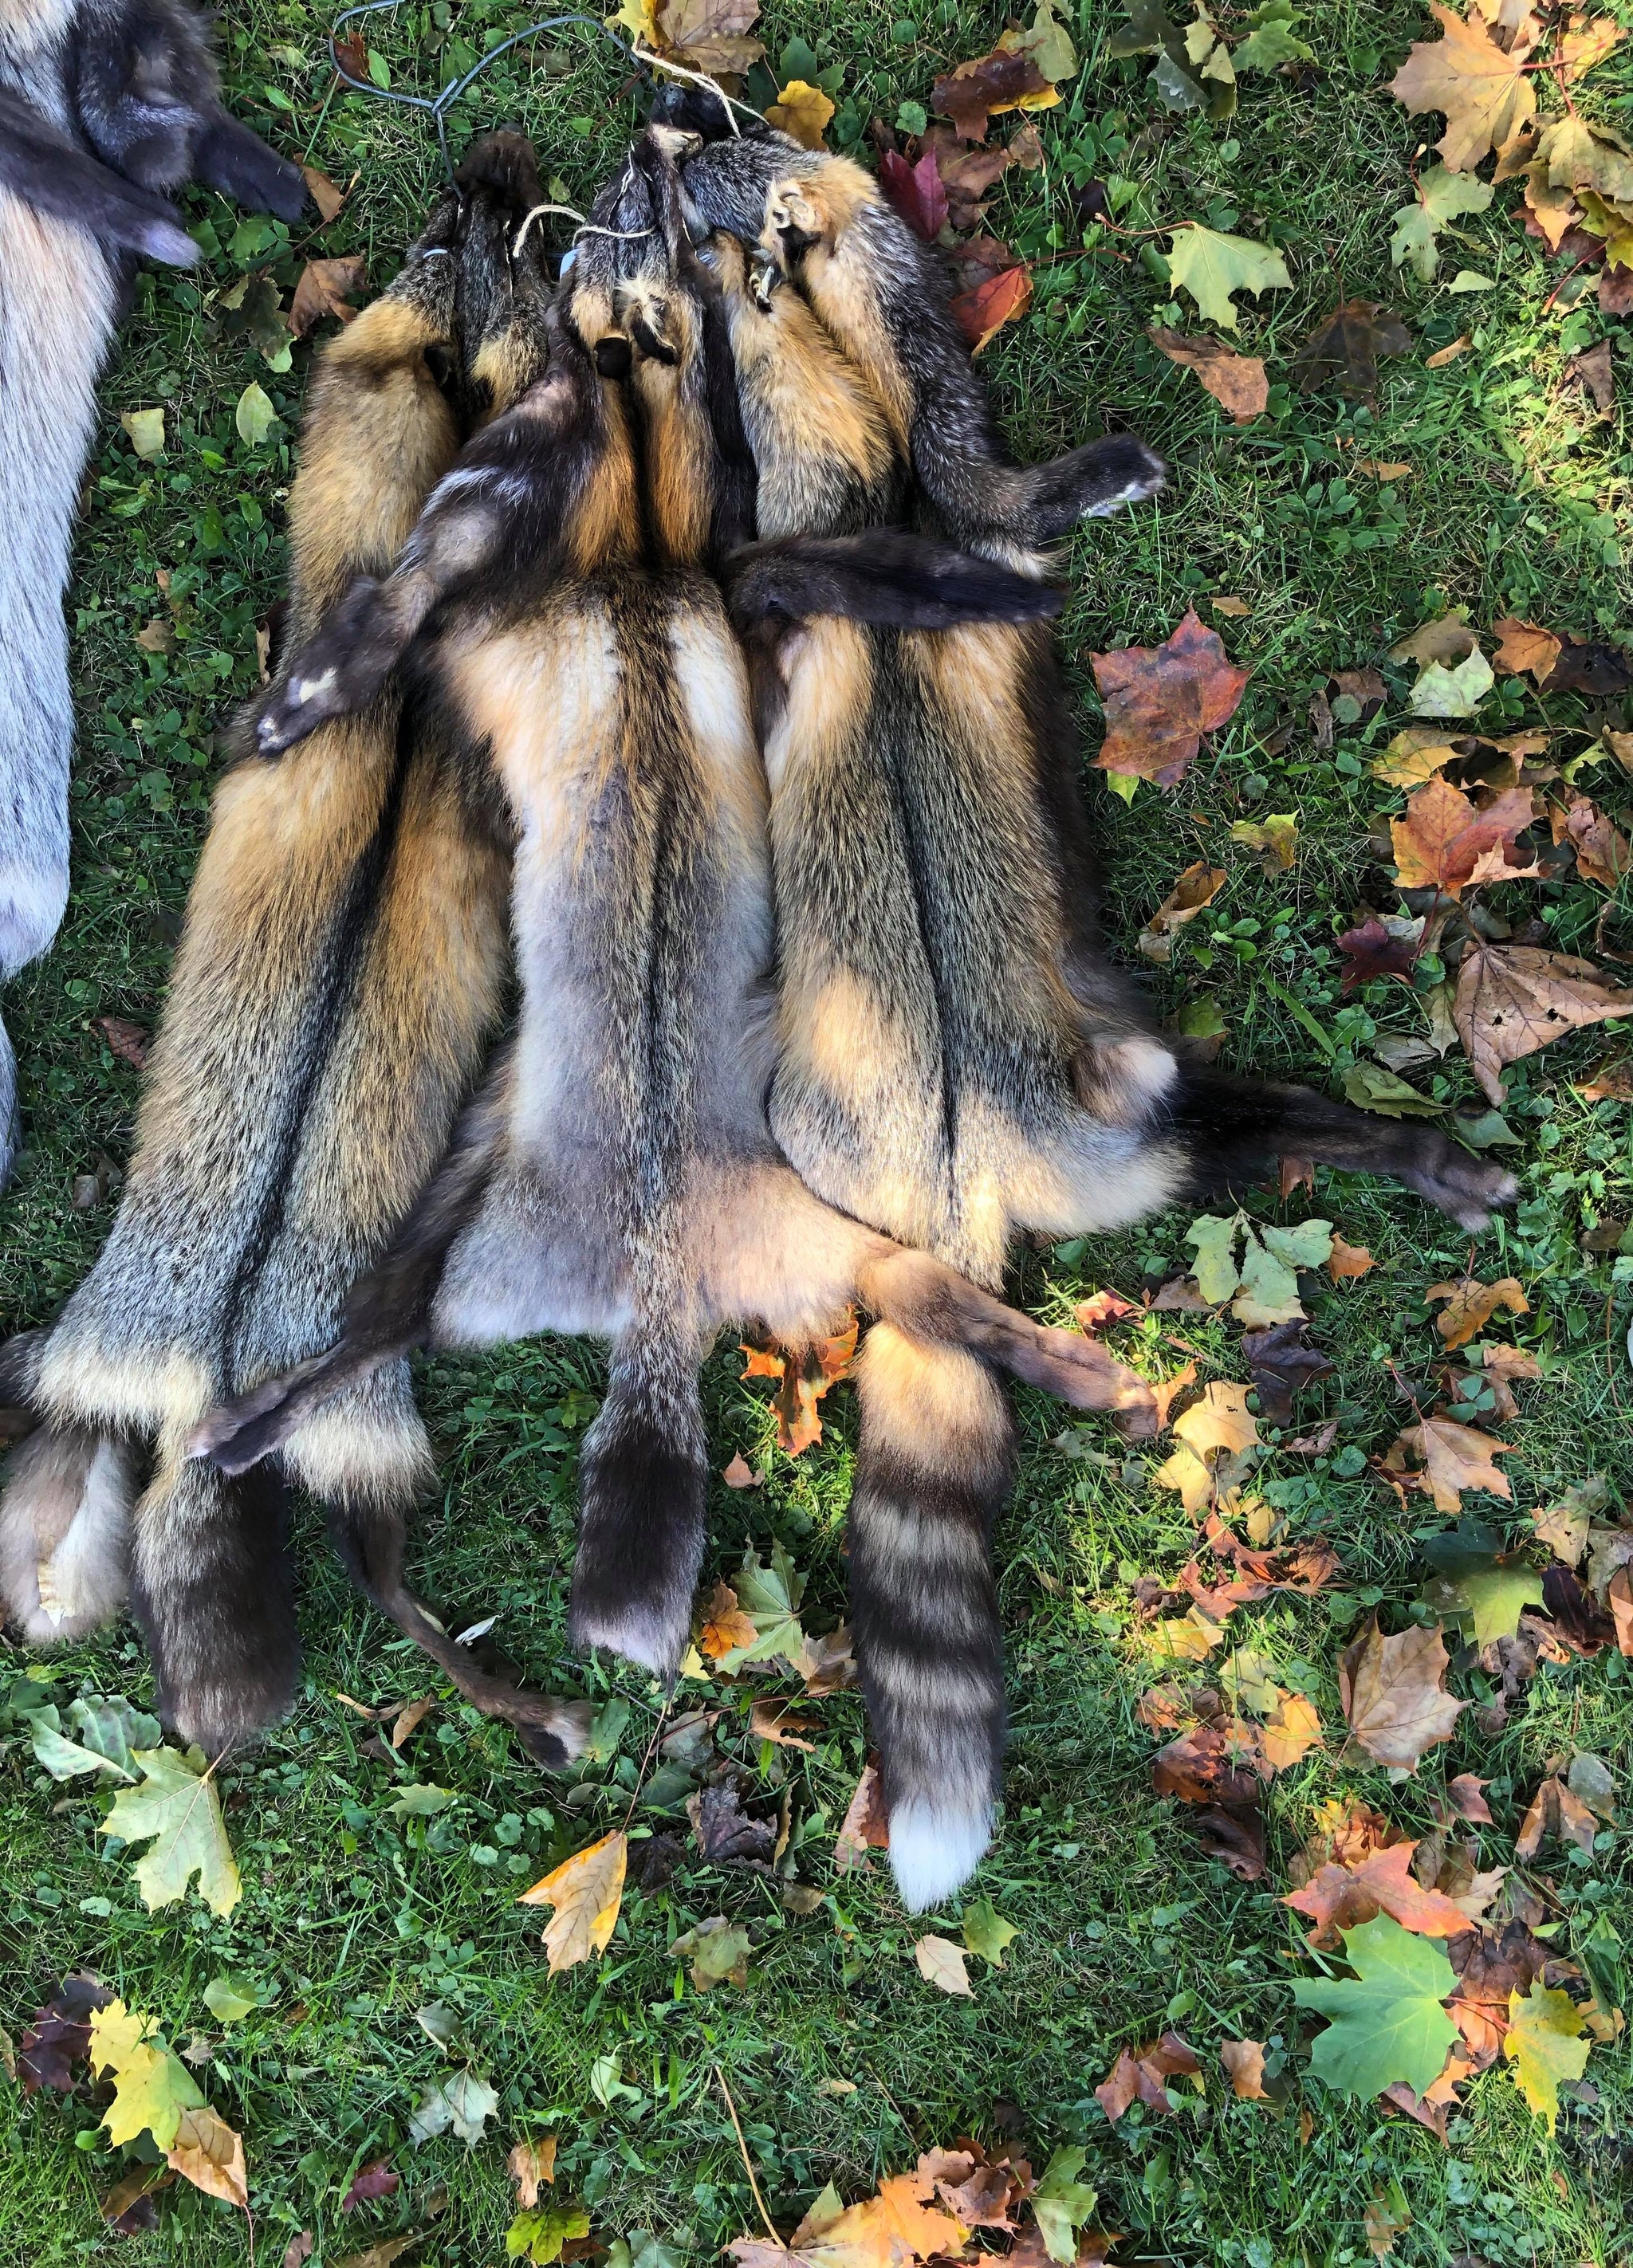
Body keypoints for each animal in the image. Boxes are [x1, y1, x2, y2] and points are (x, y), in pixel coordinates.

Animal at [187, 132, 1158, 1850]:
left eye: (629, 237)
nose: (649, 145)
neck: (635, 572)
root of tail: (650, 1271)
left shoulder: (657, 559)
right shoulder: (736, 559)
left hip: (650, 1237)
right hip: (667, 1233)